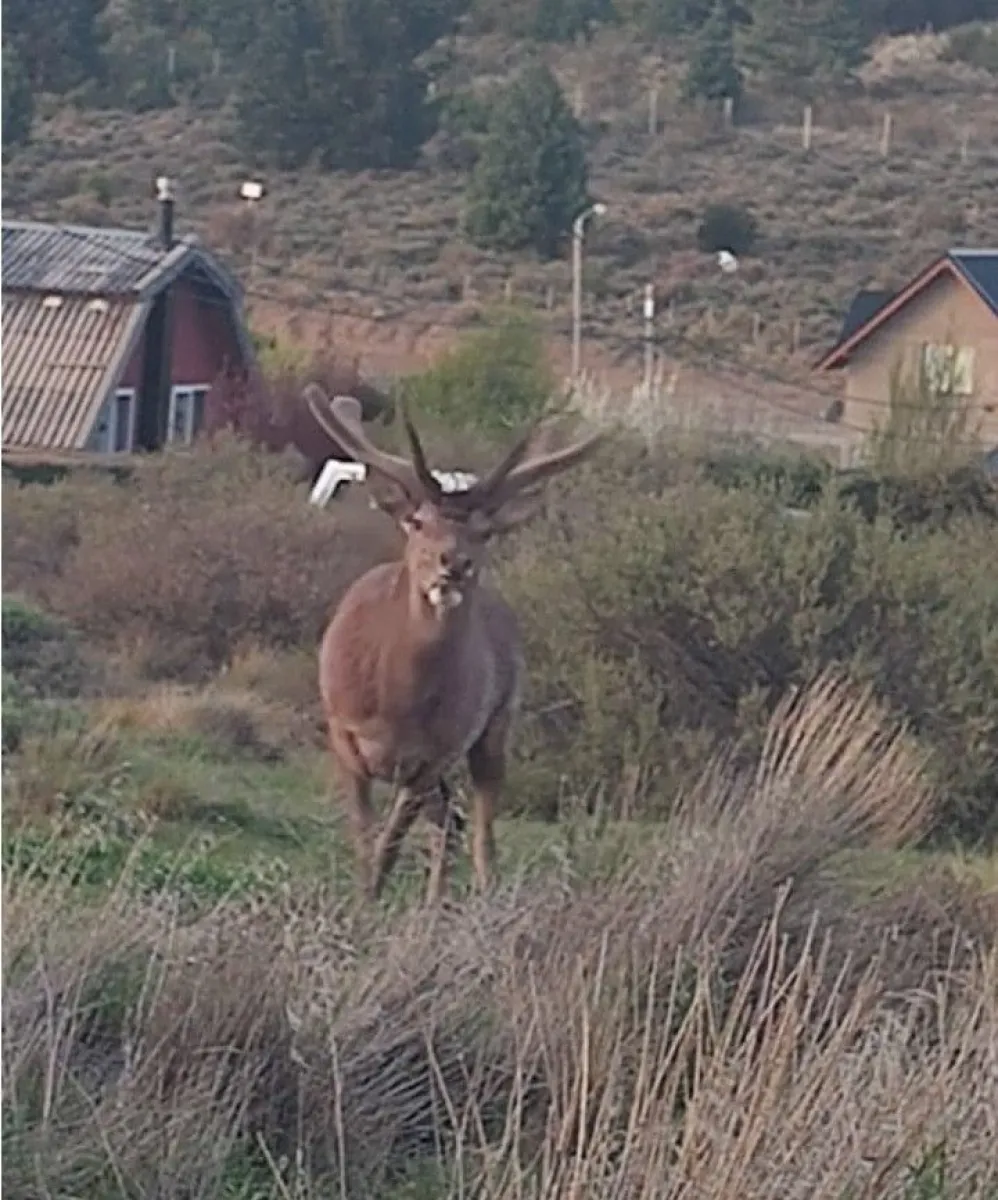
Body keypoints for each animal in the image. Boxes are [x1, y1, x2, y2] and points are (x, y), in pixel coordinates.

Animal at [305, 384, 603, 904]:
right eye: (418, 522)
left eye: (484, 531)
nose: (455, 563)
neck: (394, 703)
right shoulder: (343, 733)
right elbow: (366, 841)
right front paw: (362, 903)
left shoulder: (435, 752)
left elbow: (389, 843)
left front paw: (373, 900)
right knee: (450, 821)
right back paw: (434, 904)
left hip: (497, 723)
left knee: (476, 829)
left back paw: (472, 897)